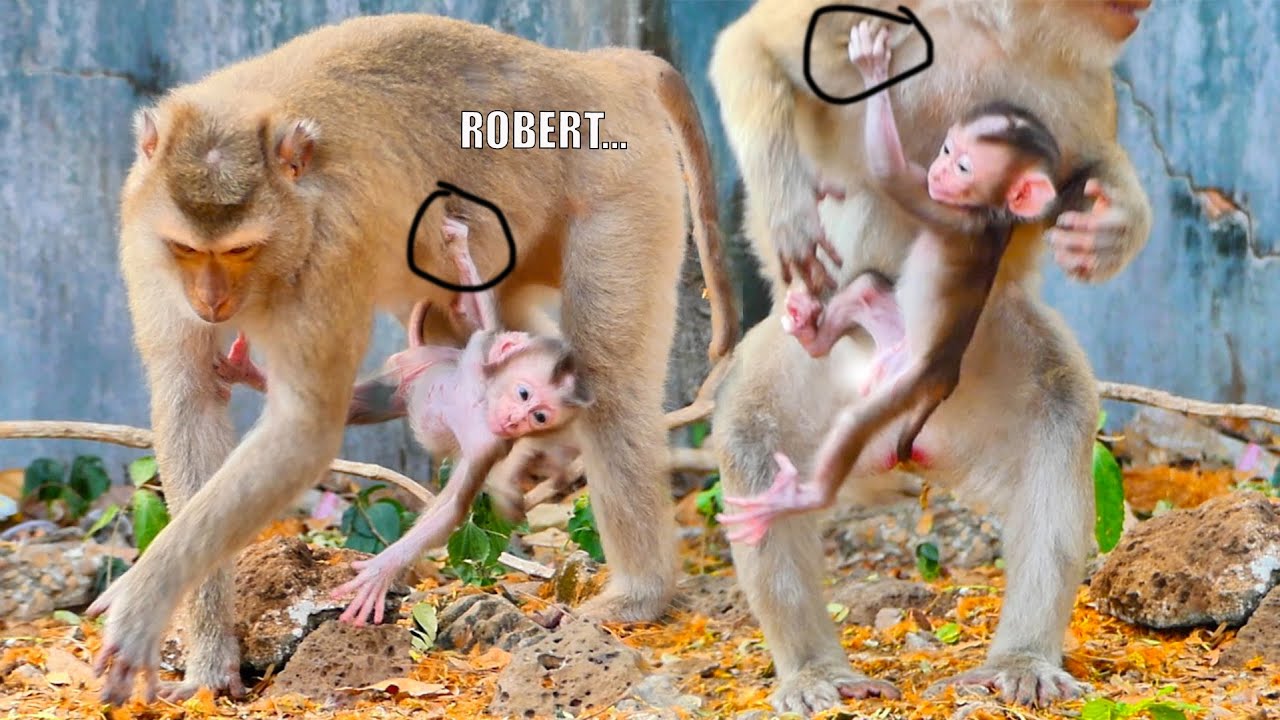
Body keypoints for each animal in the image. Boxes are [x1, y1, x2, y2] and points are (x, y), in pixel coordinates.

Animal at [88, 13, 739, 705]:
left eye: (240, 250)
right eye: (187, 248)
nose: (211, 299)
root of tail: (598, 65)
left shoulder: (332, 247)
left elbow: (303, 430)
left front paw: (142, 604)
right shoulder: (144, 235)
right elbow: (191, 397)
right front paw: (209, 658)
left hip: (620, 182)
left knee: (607, 379)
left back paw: (639, 595)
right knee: (481, 321)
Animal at [721, 21, 1078, 543]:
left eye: (965, 165)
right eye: (948, 150)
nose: (941, 170)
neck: (990, 212)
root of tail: (935, 378)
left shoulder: (948, 212)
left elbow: (887, 170)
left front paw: (874, 66)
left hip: (909, 383)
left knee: (856, 422)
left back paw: (807, 496)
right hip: (889, 341)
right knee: (867, 287)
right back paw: (813, 333)